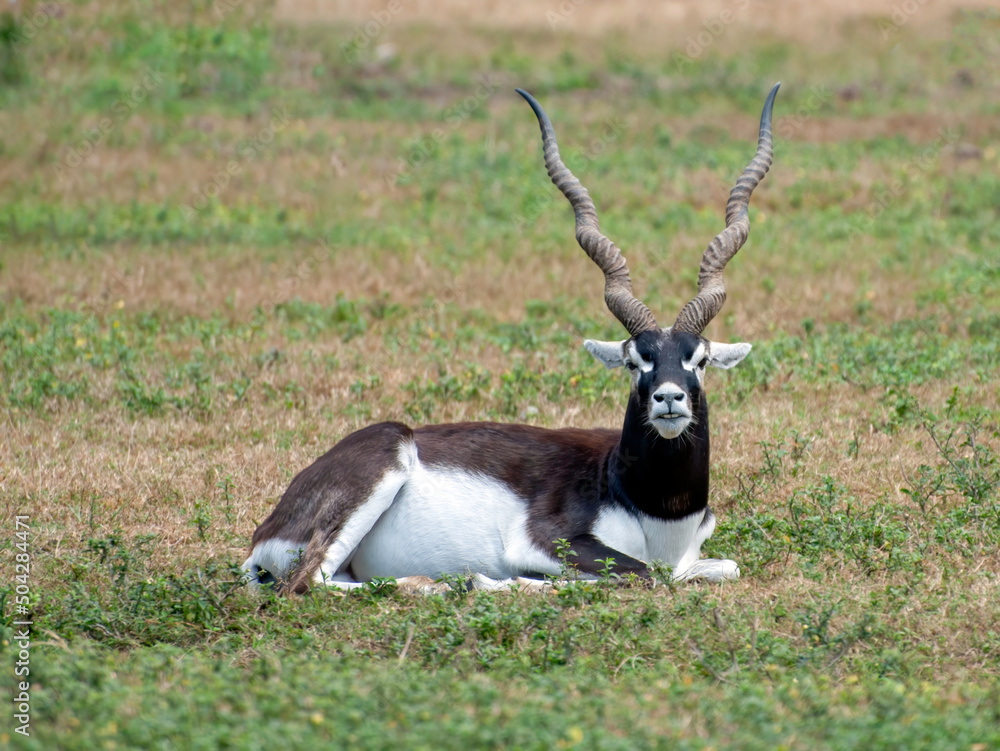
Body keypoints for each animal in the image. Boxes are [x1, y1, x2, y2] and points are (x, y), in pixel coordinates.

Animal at [243, 83, 780, 593]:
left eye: (700, 359)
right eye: (634, 361)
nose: (669, 398)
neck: (654, 510)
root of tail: (265, 531)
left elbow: (720, 567)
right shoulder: (546, 542)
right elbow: (643, 574)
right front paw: (499, 580)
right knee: (304, 585)